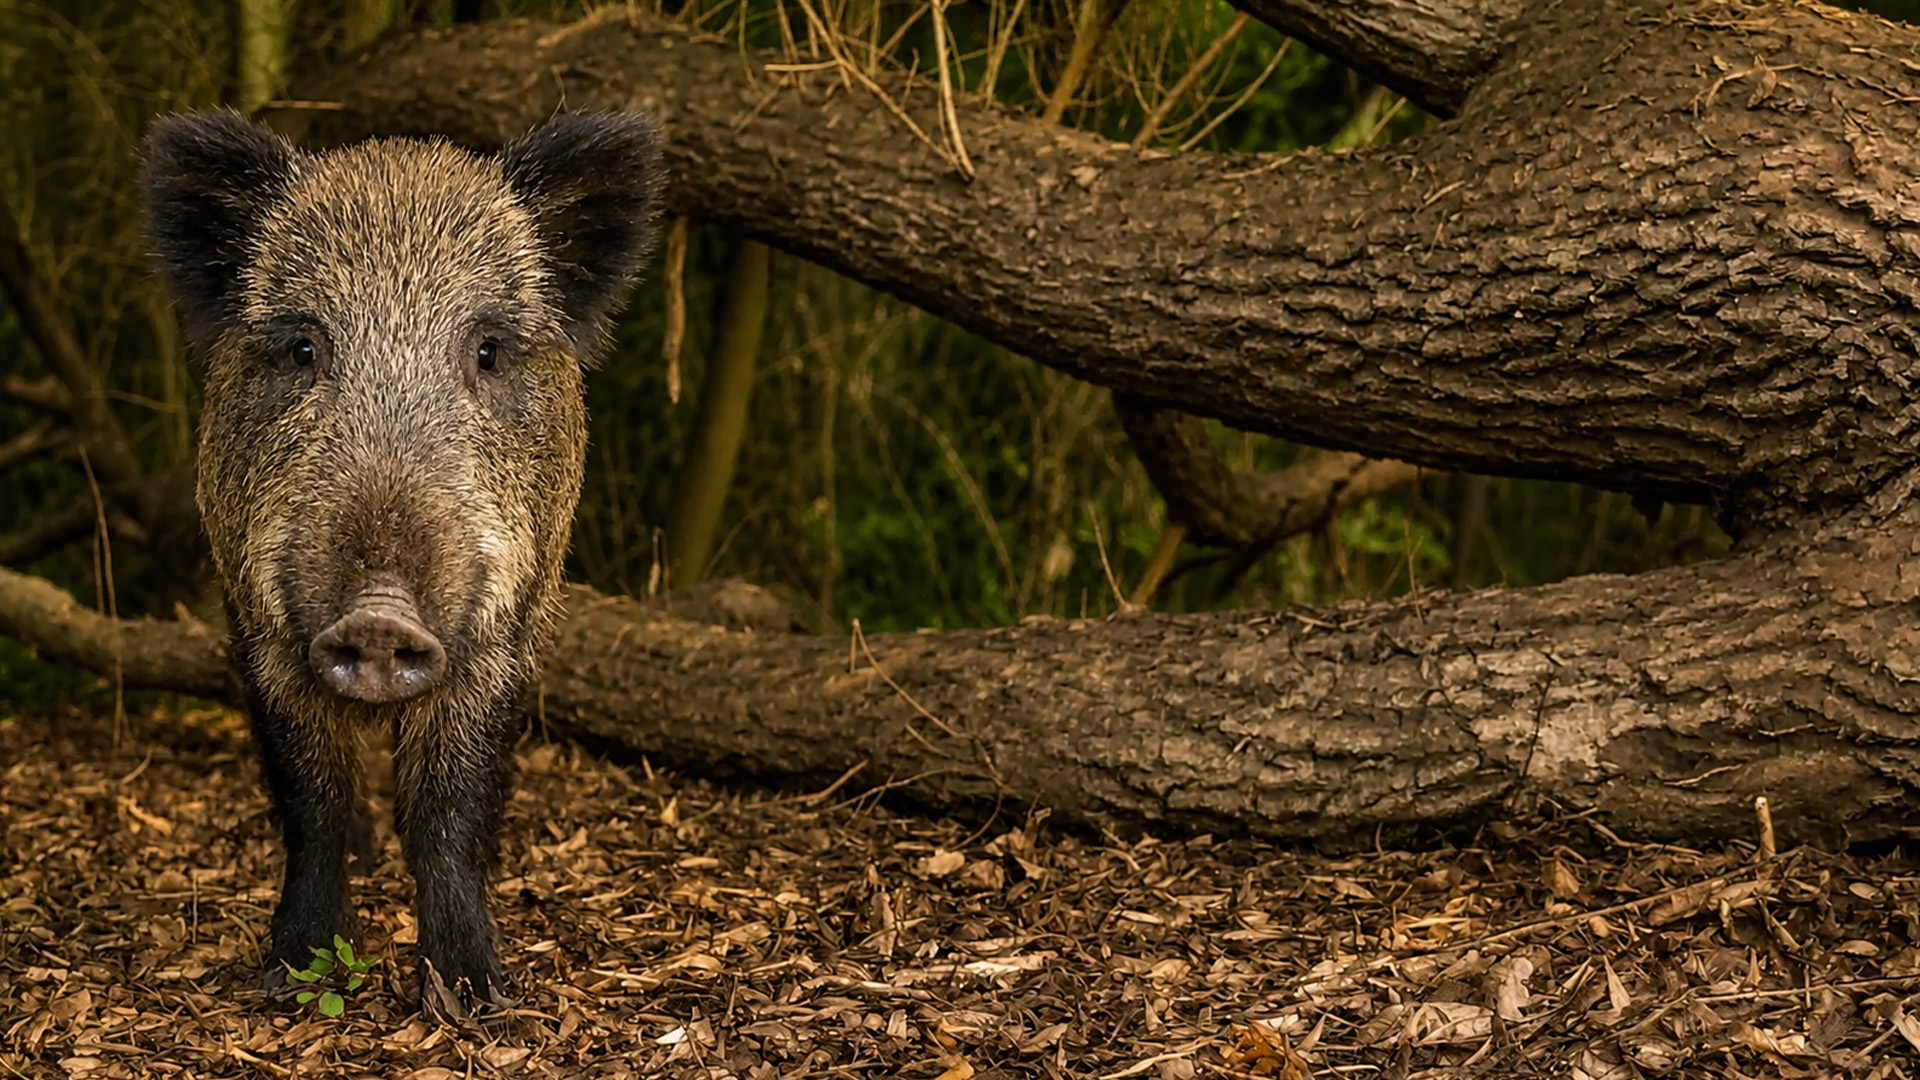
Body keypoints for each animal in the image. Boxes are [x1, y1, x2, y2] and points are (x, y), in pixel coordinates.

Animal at [141, 108, 664, 1015]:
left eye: (486, 351)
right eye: (303, 348)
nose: (379, 615)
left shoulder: (503, 629)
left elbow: (449, 803)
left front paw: (475, 999)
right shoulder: (259, 625)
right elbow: (312, 799)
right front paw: (292, 979)